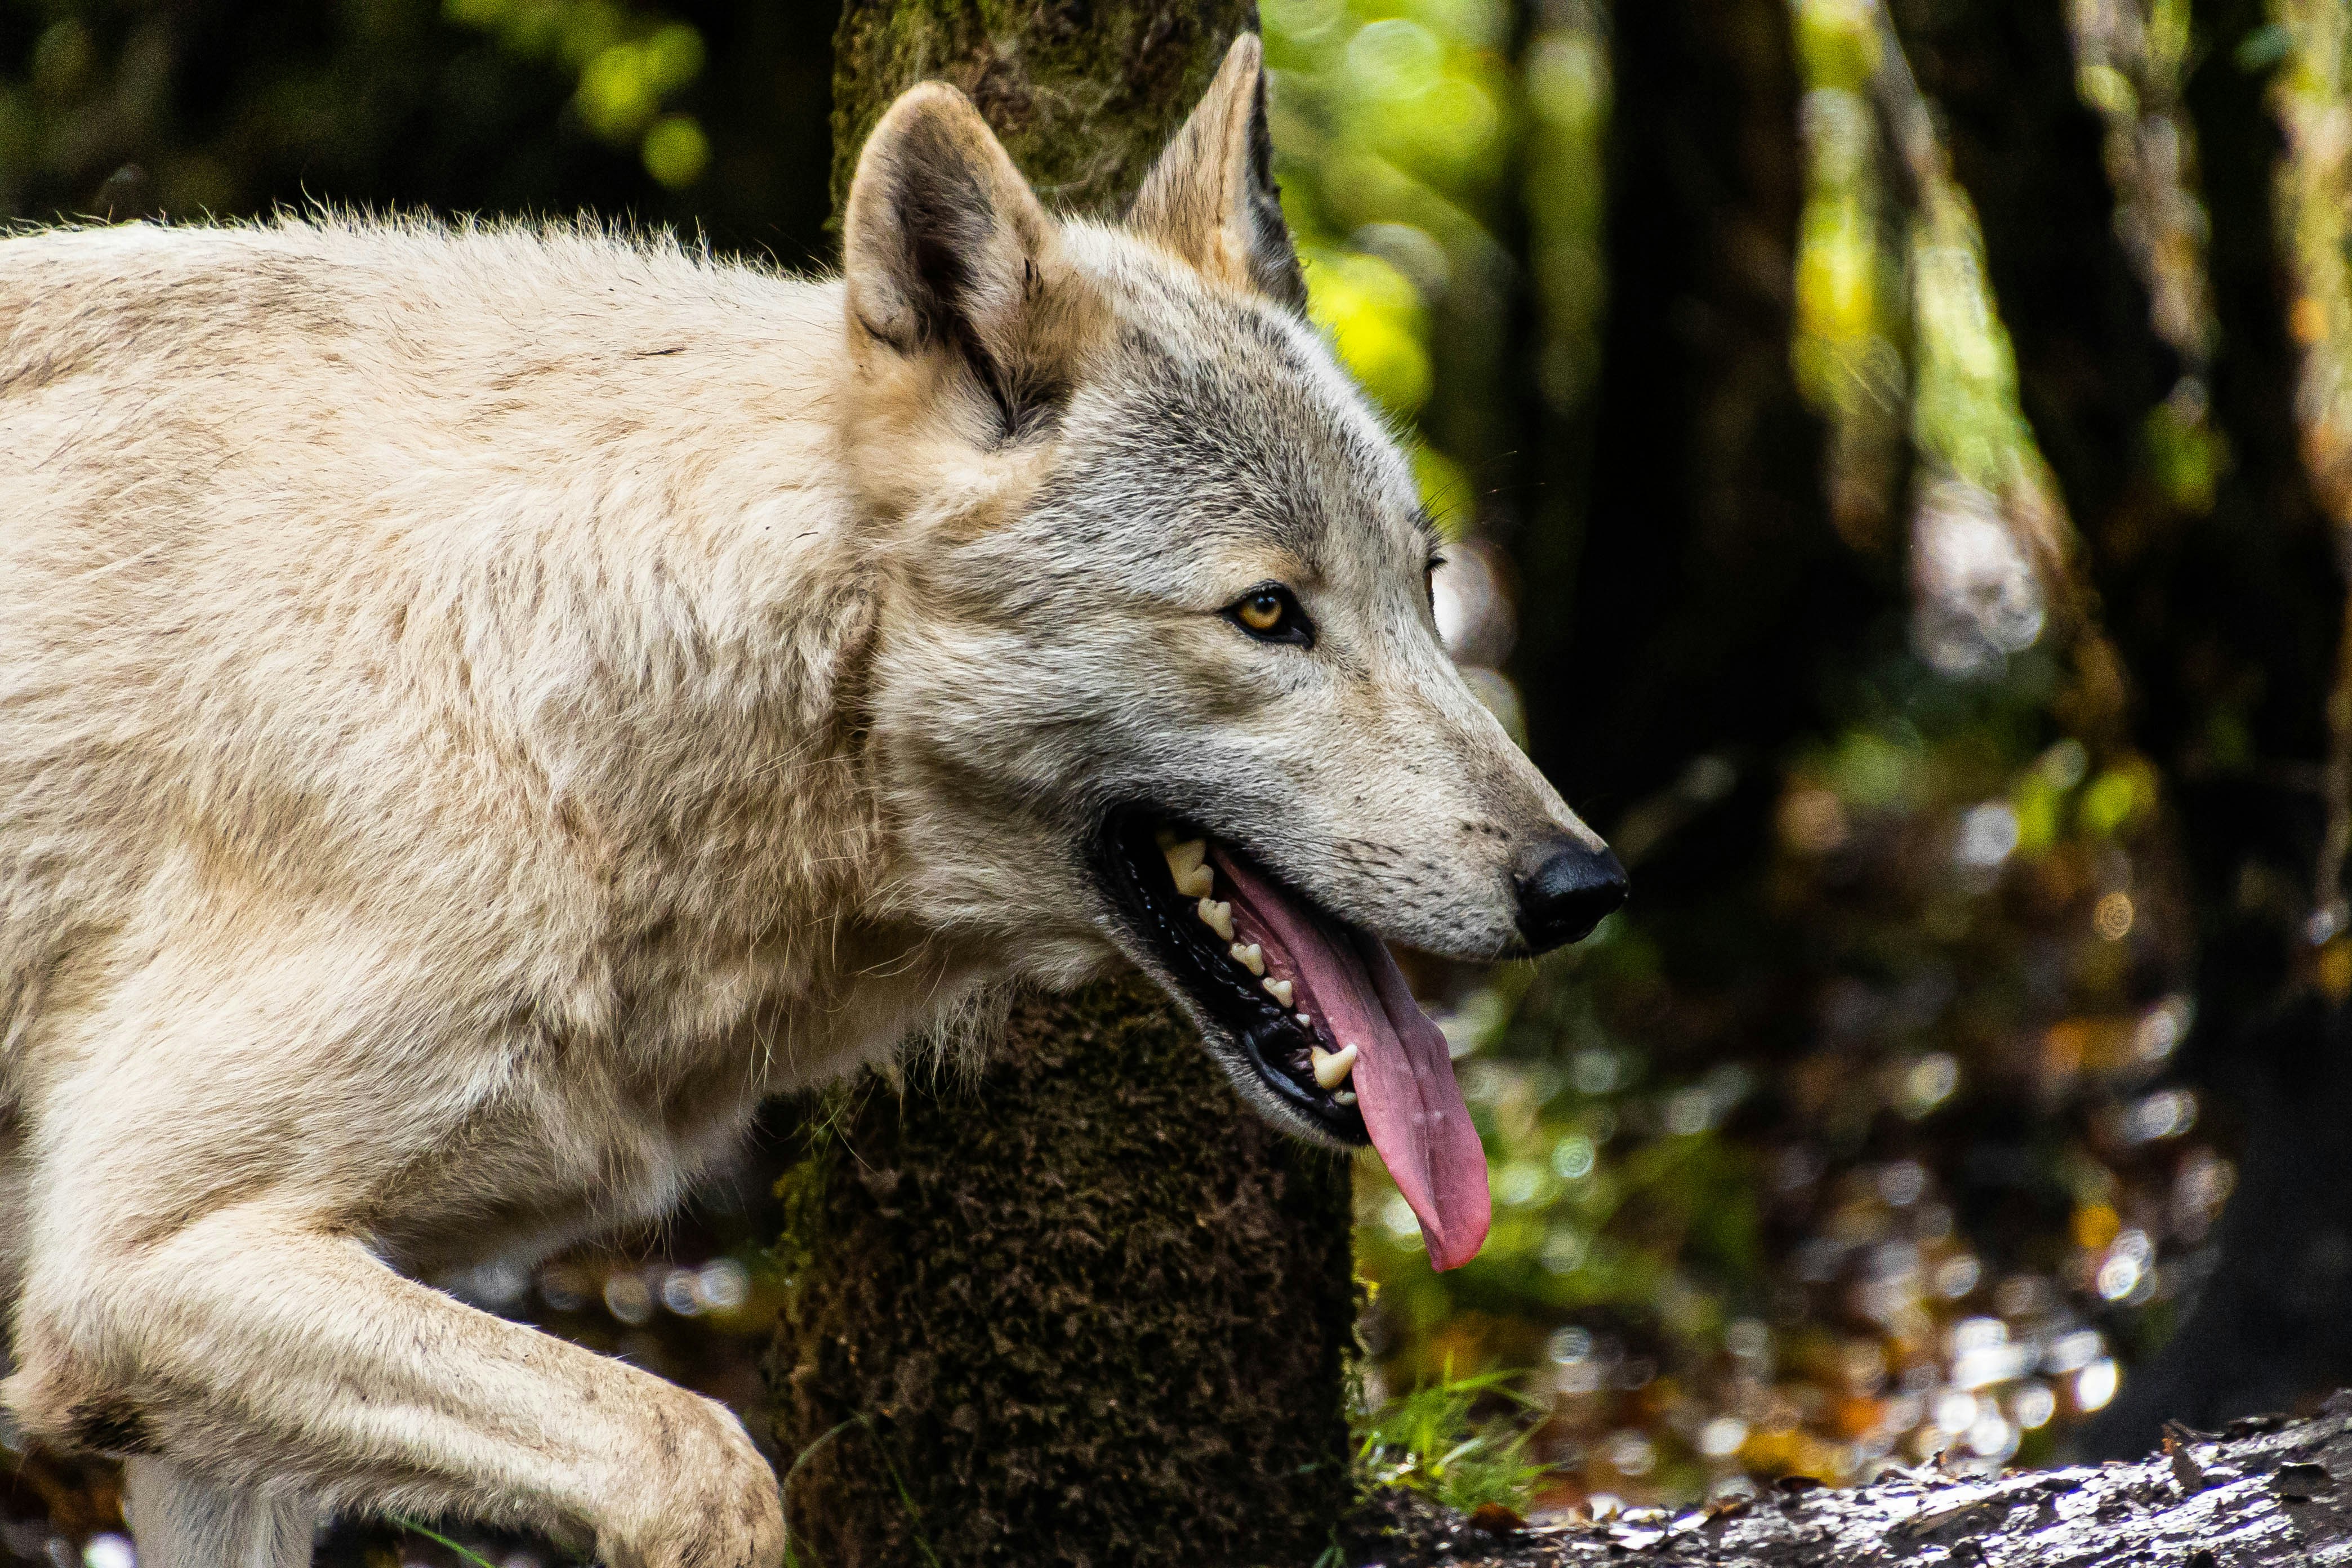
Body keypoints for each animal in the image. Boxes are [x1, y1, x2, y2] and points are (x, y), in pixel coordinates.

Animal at [0, 35, 1625, 1568]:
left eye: (1425, 587)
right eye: (1271, 614)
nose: (1585, 889)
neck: (562, 688)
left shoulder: (190, 1385)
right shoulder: (133, 1262)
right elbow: (702, 1464)